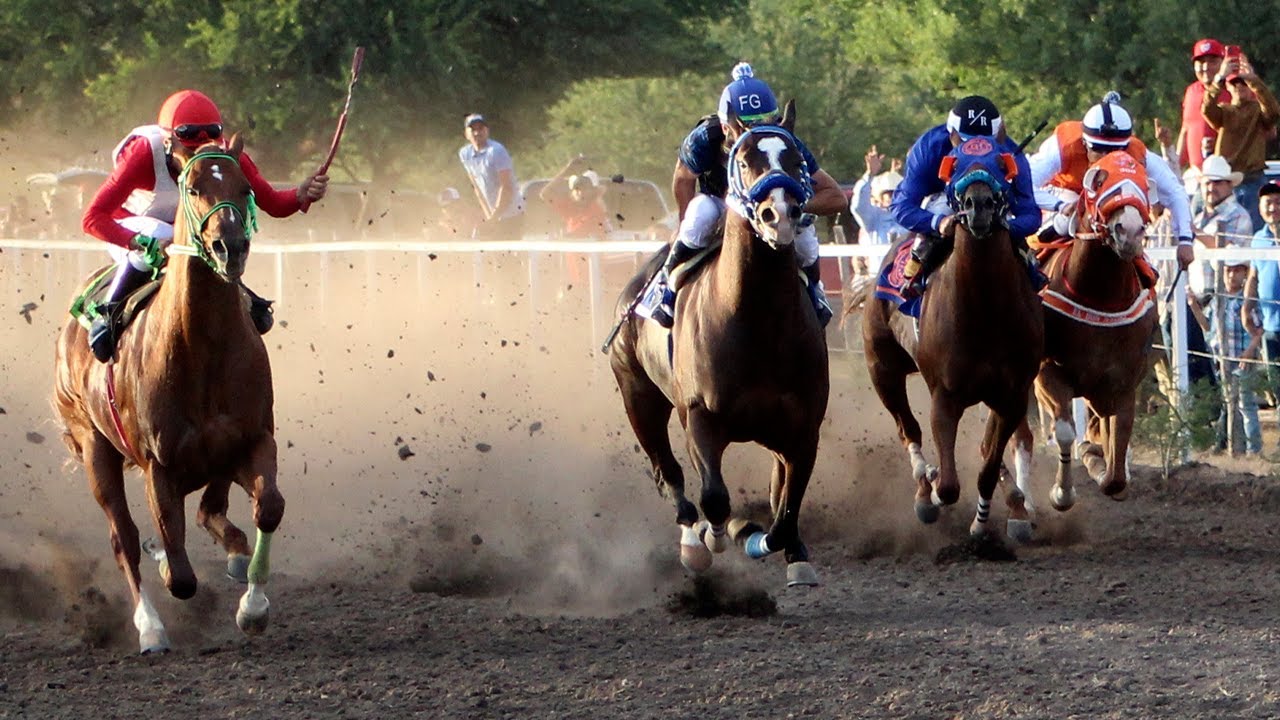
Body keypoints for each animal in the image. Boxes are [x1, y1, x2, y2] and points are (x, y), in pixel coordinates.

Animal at [53, 136, 282, 653]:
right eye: (193, 188)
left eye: (246, 187)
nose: (230, 247)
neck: (203, 346)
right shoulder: (158, 465)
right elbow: (179, 574)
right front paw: (166, 567)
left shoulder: (250, 439)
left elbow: (268, 508)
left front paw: (254, 606)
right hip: (95, 447)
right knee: (124, 539)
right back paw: (150, 627)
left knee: (209, 512)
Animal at [608, 101, 829, 587]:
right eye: (744, 161)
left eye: (796, 160)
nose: (780, 213)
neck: (757, 321)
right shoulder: (700, 416)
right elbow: (714, 496)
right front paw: (717, 536)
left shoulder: (804, 426)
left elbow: (786, 510)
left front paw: (783, 548)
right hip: (637, 394)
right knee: (667, 471)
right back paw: (693, 542)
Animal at [863, 137, 1044, 540]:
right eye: (955, 162)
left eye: (1001, 163)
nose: (979, 205)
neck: (983, 311)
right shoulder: (944, 397)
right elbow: (948, 485)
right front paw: (933, 492)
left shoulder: (1011, 397)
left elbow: (988, 466)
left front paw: (984, 523)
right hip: (882, 368)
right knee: (907, 429)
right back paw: (923, 486)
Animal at [1012, 151, 1157, 511]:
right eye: (1098, 181)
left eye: (1144, 182)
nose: (1129, 230)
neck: (1098, 297)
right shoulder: (1048, 373)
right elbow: (1065, 431)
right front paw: (1061, 493)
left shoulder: (1123, 381)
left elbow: (1117, 443)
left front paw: (1105, 468)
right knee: (1021, 436)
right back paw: (1024, 502)